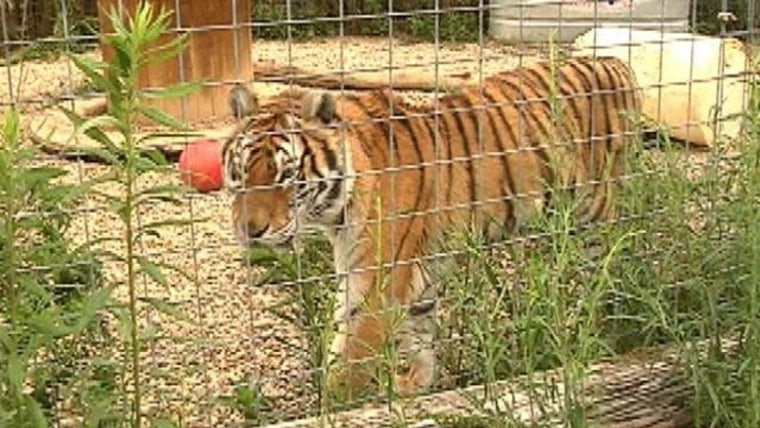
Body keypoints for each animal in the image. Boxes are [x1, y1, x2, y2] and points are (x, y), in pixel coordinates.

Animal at [221, 56, 643, 399]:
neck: (336, 208)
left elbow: (349, 367)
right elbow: (420, 333)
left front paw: (339, 406)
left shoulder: (374, 288)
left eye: (286, 176)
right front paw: (416, 384)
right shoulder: (410, 278)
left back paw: (604, 329)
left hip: (595, 214)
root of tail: (614, 61)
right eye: (240, 172)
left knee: (610, 269)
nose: (249, 231)